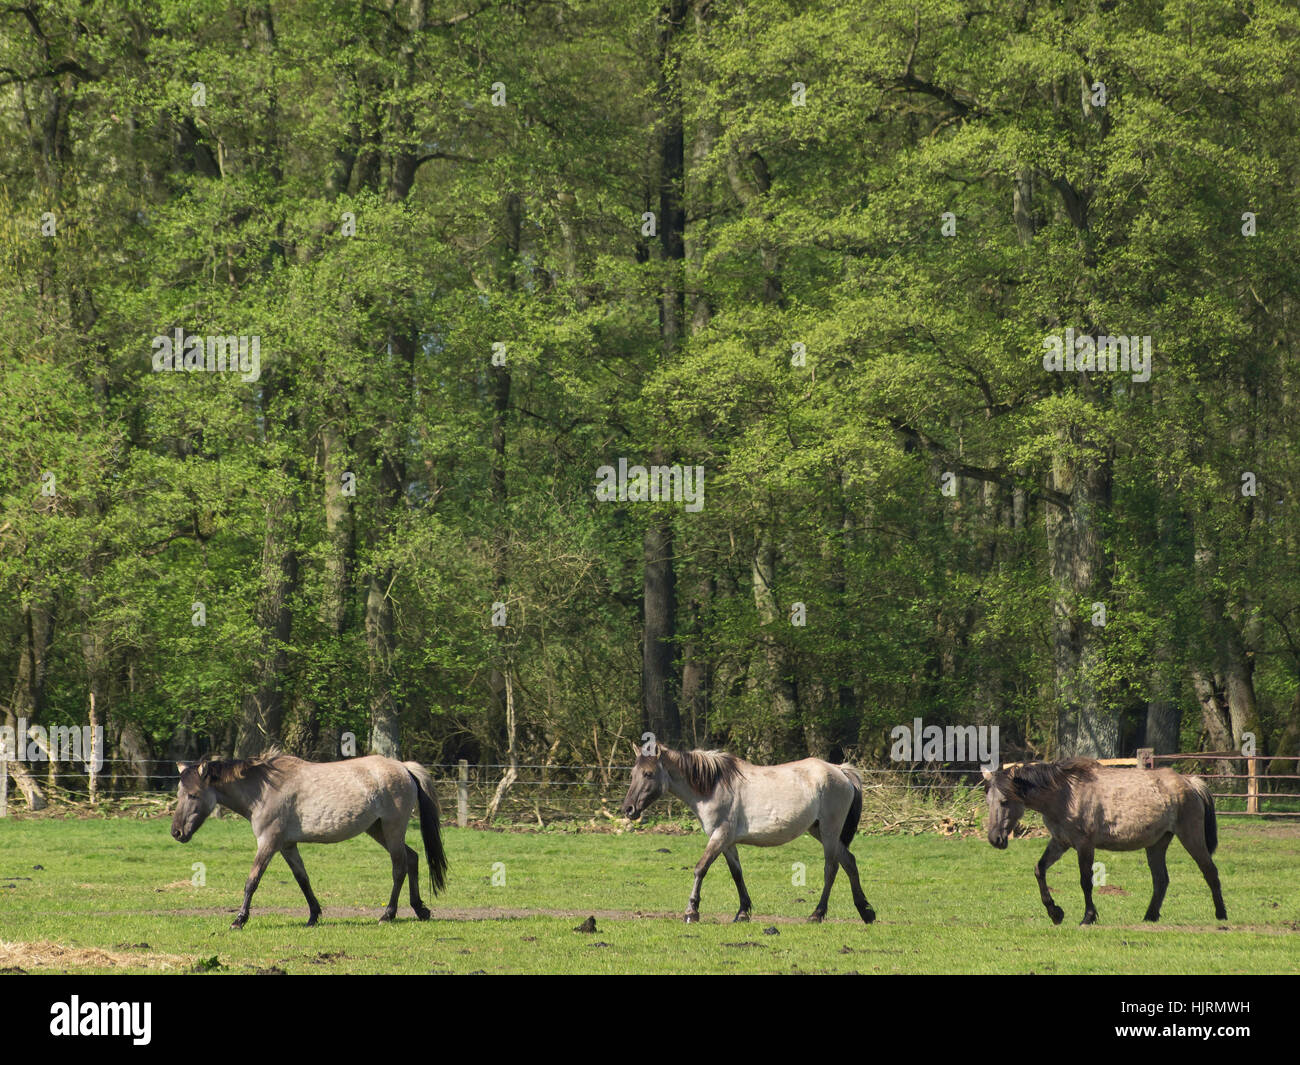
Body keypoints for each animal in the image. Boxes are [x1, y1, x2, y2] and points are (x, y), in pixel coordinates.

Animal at [171, 749, 448, 929]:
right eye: (179, 793)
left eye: (193, 795)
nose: (176, 832)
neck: (264, 790)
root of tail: (404, 767)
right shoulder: (286, 845)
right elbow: (303, 879)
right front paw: (313, 916)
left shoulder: (268, 842)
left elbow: (252, 881)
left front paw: (239, 919)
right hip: (378, 829)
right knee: (412, 859)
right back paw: (420, 909)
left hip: (392, 829)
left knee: (399, 868)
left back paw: (388, 915)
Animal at [620, 743, 875, 925]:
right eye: (633, 773)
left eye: (648, 773)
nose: (628, 809)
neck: (714, 786)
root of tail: (841, 771)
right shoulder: (727, 841)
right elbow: (737, 874)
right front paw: (743, 912)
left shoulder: (719, 836)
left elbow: (700, 868)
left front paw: (692, 911)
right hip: (819, 830)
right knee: (849, 862)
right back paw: (866, 912)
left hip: (829, 831)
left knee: (831, 869)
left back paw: (817, 914)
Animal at [982, 758, 1227, 925]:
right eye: (988, 801)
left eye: (1004, 801)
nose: (995, 839)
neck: (1066, 793)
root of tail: (1190, 782)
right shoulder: (1060, 842)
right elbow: (1039, 870)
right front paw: (1055, 912)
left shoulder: (1084, 845)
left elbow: (1085, 881)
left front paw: (1088, 917)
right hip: (1157, 844)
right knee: (1161, 880)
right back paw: (1150, 916)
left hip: (1191, 837)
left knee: (1210, 871)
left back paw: (1221, 915)